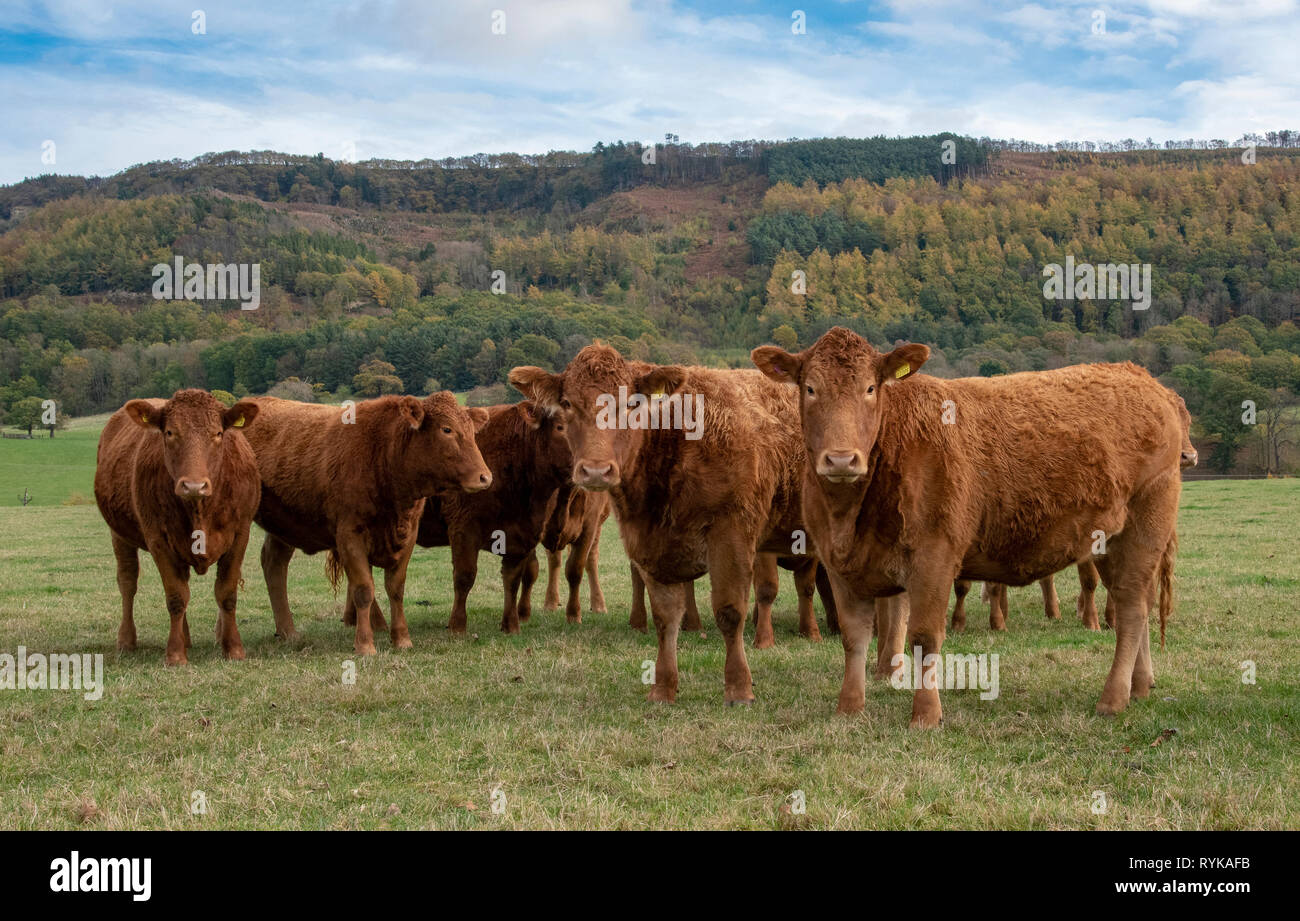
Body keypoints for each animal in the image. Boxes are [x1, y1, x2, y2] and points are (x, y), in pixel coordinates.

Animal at [94, 389, 261, 665]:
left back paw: (187, 638)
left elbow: (226, 593)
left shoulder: (240, 534)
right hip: (119, 534)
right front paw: (174, 654)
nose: (194, 486)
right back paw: (127, 640)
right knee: (128, 582)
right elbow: (175, 596)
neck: (199, 509)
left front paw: (234, 649)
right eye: (170, 432)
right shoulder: (158, 539)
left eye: (218, 433)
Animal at [242, 394, 491, 655]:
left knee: (274, 563)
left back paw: (288, 632)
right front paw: (364, 644)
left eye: (472, 431)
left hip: (282, 526)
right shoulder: (350, 535)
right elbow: (363, 590)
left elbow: (396, 588)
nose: (484, 477)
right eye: (447, 429)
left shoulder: (409, 535)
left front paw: (402, 639)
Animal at [416, 400, 605, 633]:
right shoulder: (464, 527)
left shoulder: (524, 534)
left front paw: (511, 625)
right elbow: (464, 576)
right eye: (560, 427)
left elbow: (514, 579)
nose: (592, 466)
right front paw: (457, 626)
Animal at [510, 344, 813, 705]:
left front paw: (739, 687)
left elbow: (730, 611)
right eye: (568, 404)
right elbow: (666, 618)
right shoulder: (649, 544)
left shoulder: (733, 535)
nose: (595, 470)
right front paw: (663, 687)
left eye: (630, 404)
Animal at [753, 327, 1185, 726]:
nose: (841, 459)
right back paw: (1140, 685)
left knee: (1132, 608)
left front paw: (926, 714)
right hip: (1108, 542)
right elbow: (854, 636)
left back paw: (1113, 698)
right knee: (1136, 605)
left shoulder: (935, 554)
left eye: (871, 388)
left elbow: (924, 635)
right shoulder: (839, 562)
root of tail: (1142, 378)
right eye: (810, 388)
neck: (848, 514)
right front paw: (849, 707)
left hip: (1144, 526)